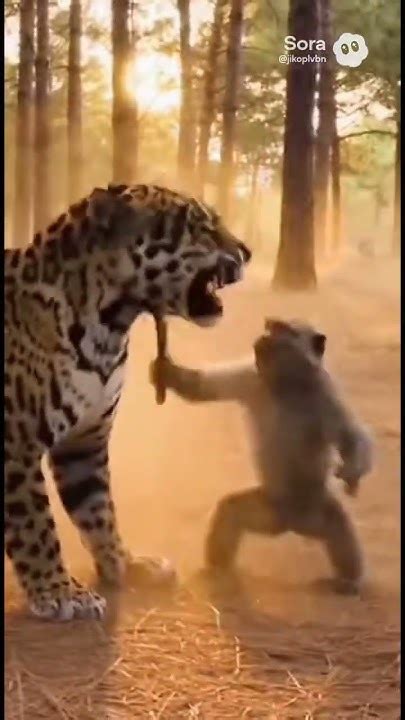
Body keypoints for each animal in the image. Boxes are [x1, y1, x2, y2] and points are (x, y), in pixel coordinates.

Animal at [5, 182, 251, 621]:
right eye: (200, 227)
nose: (248, 252)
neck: (110, 326)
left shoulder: (85, 441)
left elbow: (98, 509)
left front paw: (126, 563)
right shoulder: (17, 443)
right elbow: (35, 526)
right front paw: (59, 591)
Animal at [150, 318, 374, 594]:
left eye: (284, 329)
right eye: (272, 326)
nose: (264, 336)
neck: (285, 385)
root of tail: (292, 522)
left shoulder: (324, 392)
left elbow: (349, 436)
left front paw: (352, 472)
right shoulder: (252, 376)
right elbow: (203, 388)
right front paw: (166, 370)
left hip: (313, 506)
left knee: (338, 527)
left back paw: (348, 581)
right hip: (269, 508)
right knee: (231, 512)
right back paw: (217, 569)